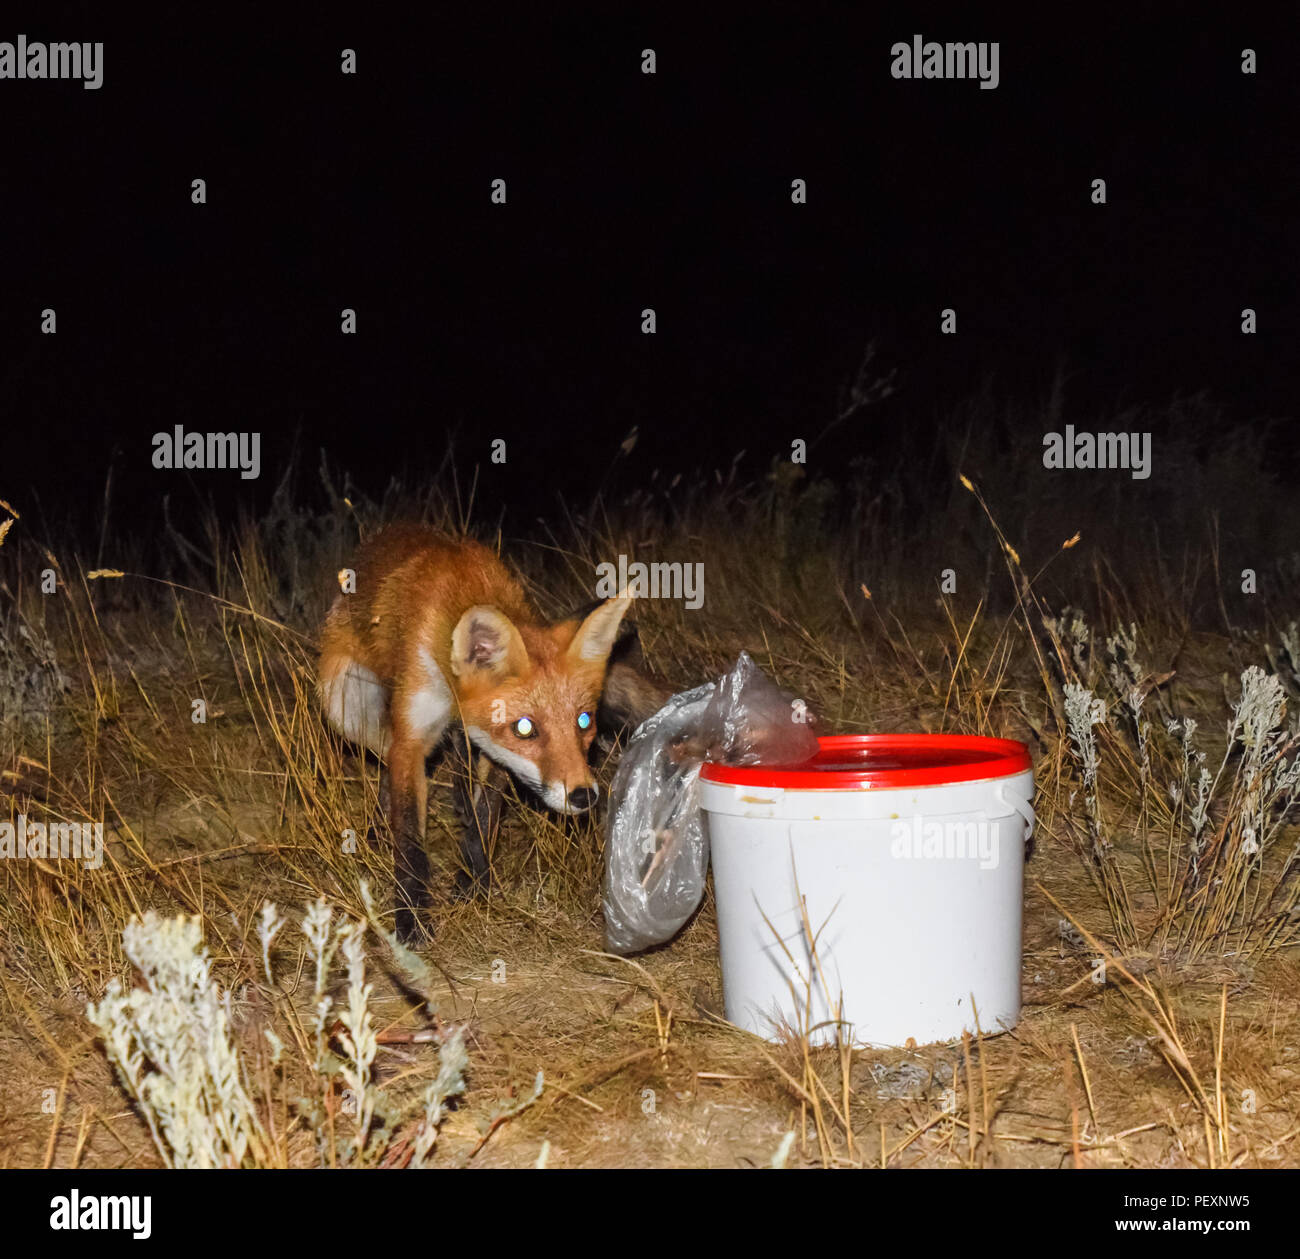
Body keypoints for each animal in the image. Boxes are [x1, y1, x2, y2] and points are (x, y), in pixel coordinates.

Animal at [317, 523, 673, 941]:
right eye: (525, 728)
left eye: (584, 721)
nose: (584, 796)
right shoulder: (412, 737)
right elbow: (410, 842)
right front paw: (412, 918)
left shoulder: (497, 750)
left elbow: (485, 818)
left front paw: (473, 885)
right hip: (347, 707)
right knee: (386, 766)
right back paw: (376, 831)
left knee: (457, 760)